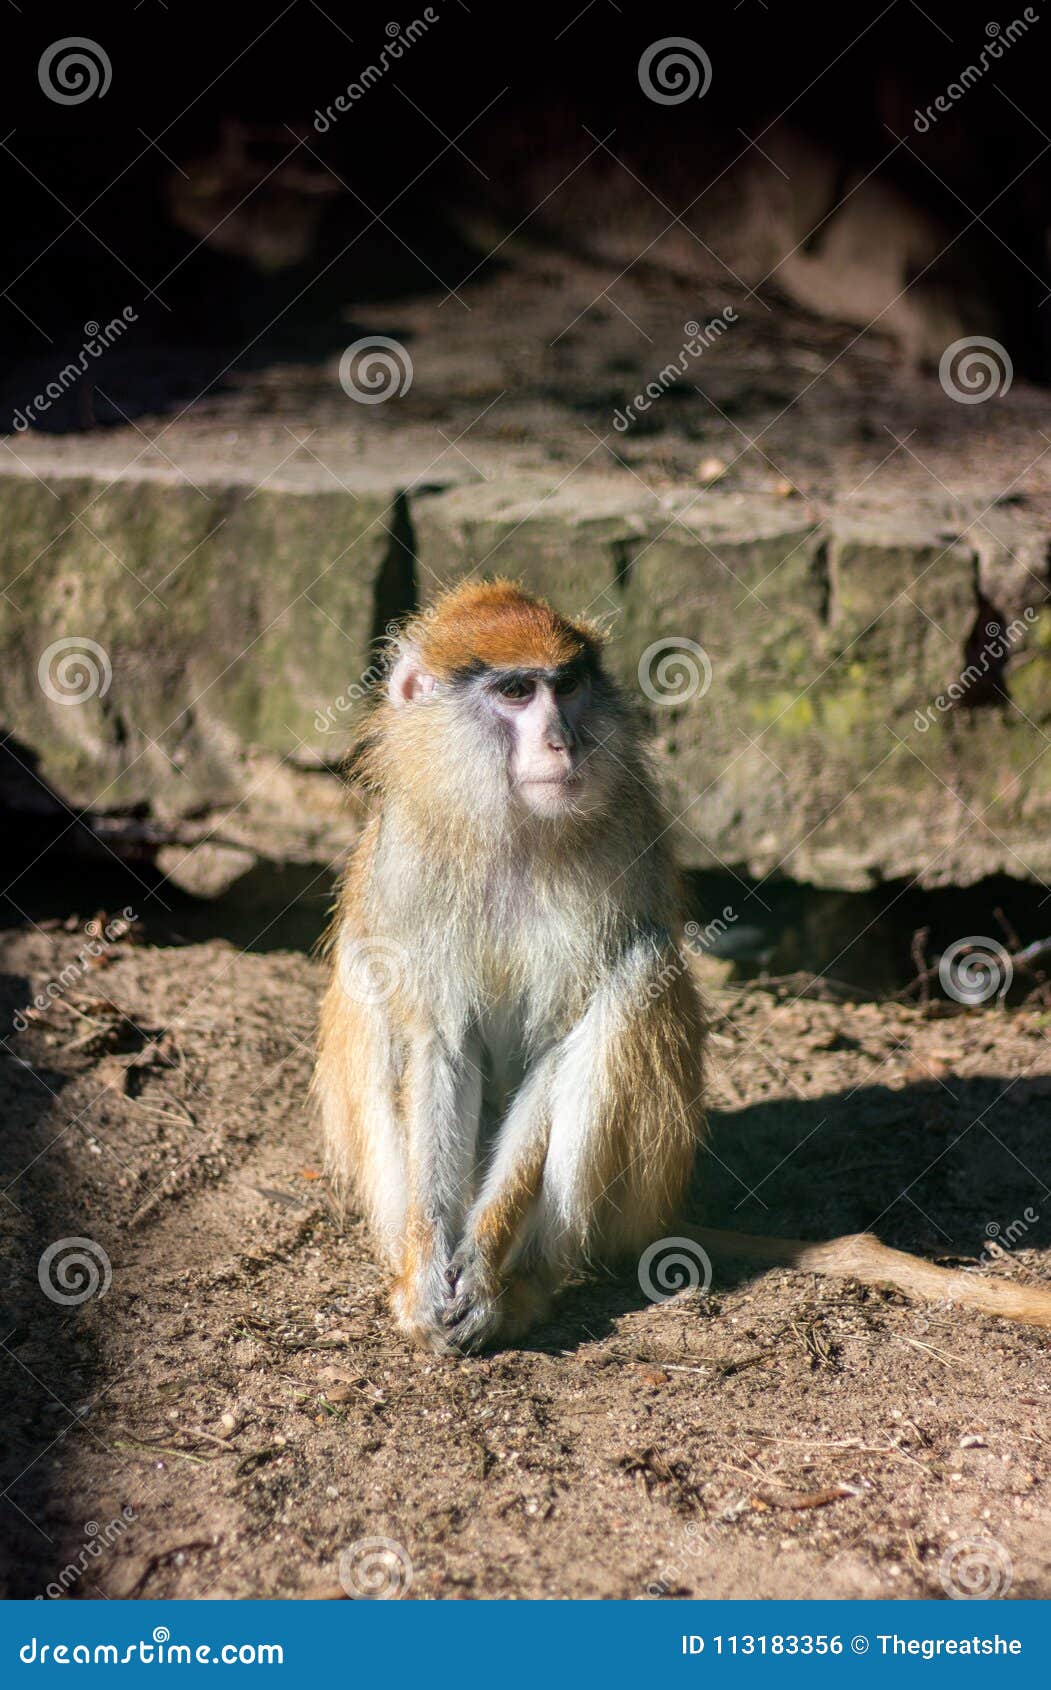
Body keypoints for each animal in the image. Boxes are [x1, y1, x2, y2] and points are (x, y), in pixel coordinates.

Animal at [314, 578, 1051, 1350]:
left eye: (566, 686)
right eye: (515, 691)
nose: (562, 740)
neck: (511, 829)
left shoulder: (621, 850)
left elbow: (563, 1033)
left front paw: (482, 1264)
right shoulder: (405, 865)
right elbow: (435, 1040)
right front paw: (431, 1275)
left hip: (636, 1197)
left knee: (640, 970)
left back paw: (529, 1285)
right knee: (368, 970)